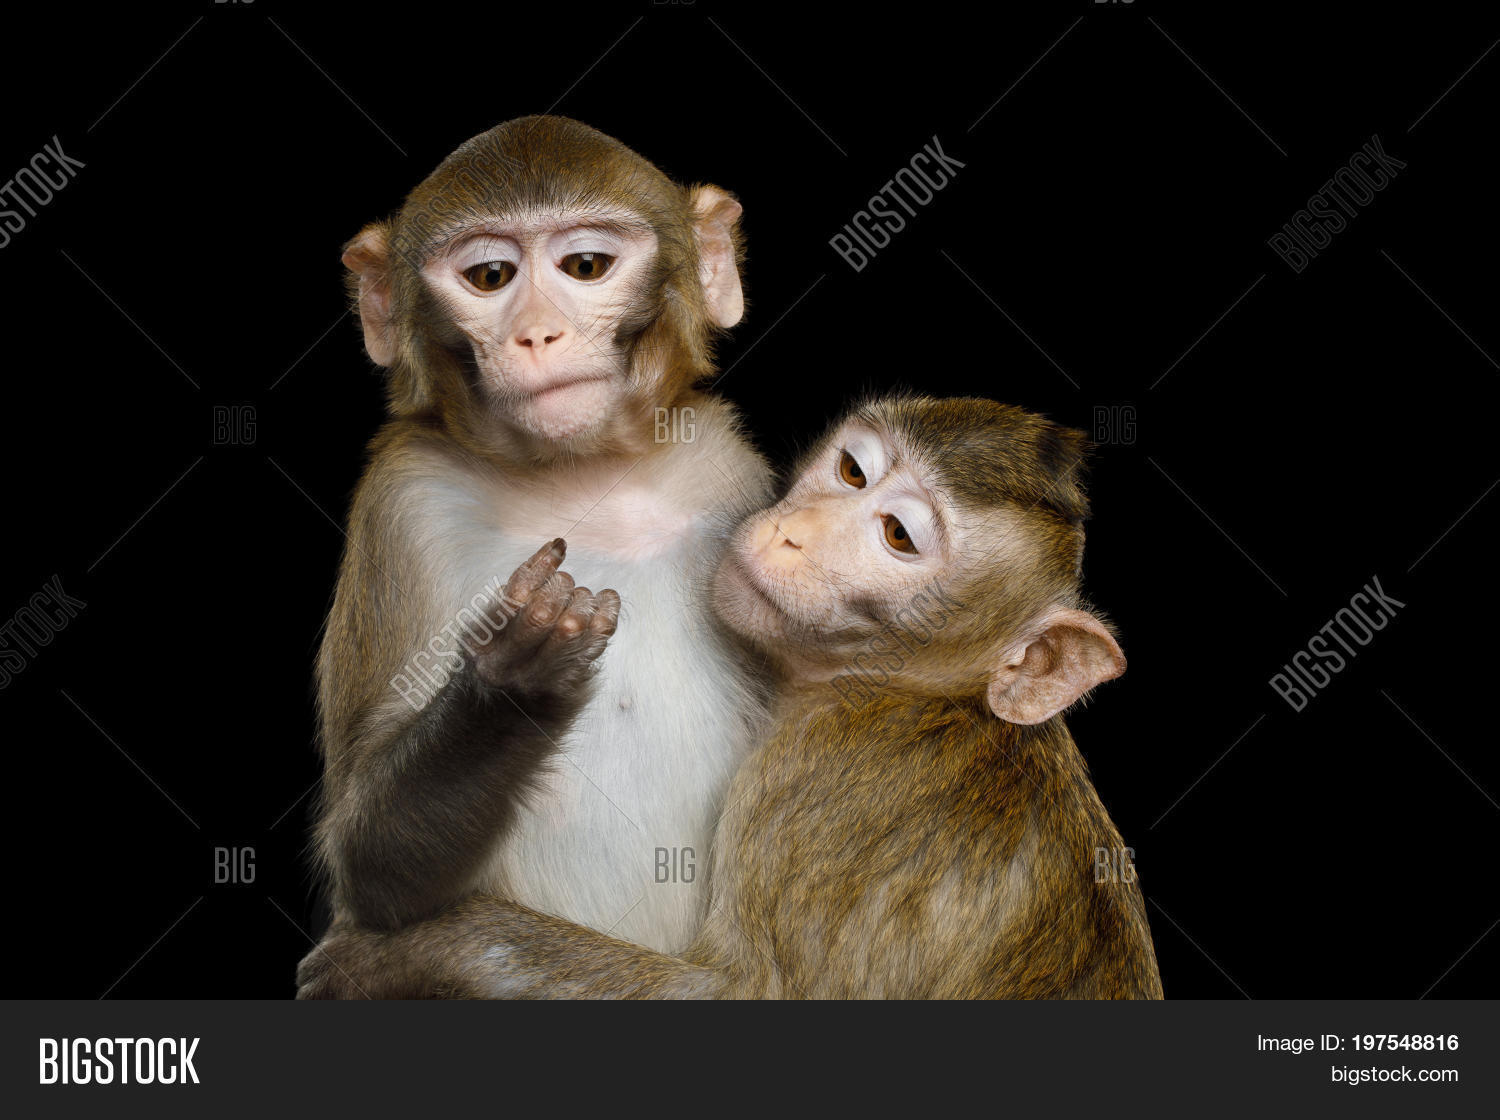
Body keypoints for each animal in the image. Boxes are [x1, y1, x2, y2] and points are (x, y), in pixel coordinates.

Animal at [297, 395, 1164, 999]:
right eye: (853, 472)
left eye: (898, 537)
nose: (791, 533)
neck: (928, 691)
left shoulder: (816, 789)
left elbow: (742, 993)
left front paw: (401, 957)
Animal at [302, 116, 773, 961]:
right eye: (490, 277)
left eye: (585, 266)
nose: (536, 334)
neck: (575, 482)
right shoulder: (402, 503)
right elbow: (370, 867)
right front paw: (512, 678)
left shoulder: (726, 478)